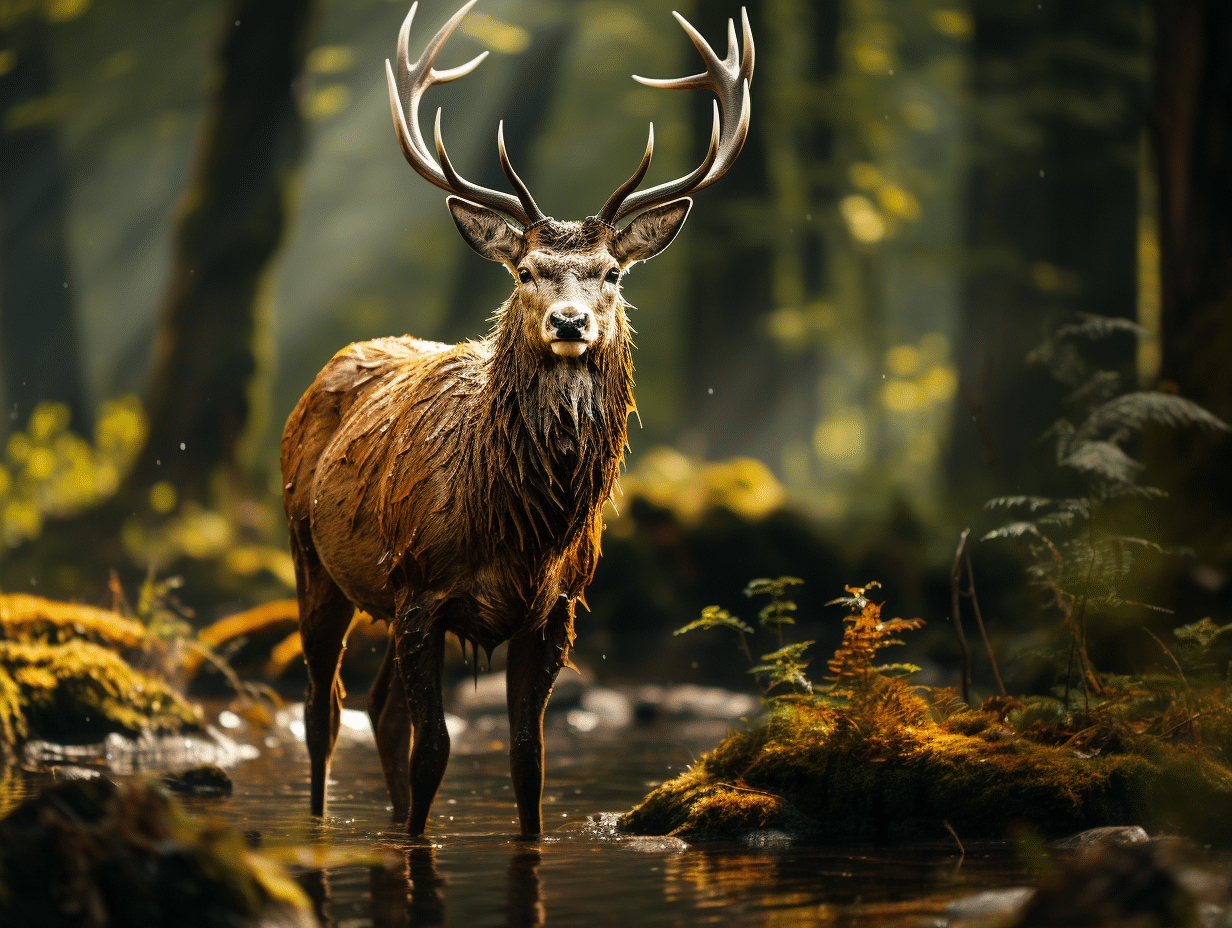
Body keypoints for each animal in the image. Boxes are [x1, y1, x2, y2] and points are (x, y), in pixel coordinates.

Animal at [281, 0, 753, 837]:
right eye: (527, 270)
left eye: (612, 272)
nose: (569, 322)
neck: (522, 528)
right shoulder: (421, 592)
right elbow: (437, 750)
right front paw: (417, 840)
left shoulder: (555, 610)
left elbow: (527, 761)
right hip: (312, 558)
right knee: (323, 710)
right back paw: (318, 825)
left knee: (379, 710)